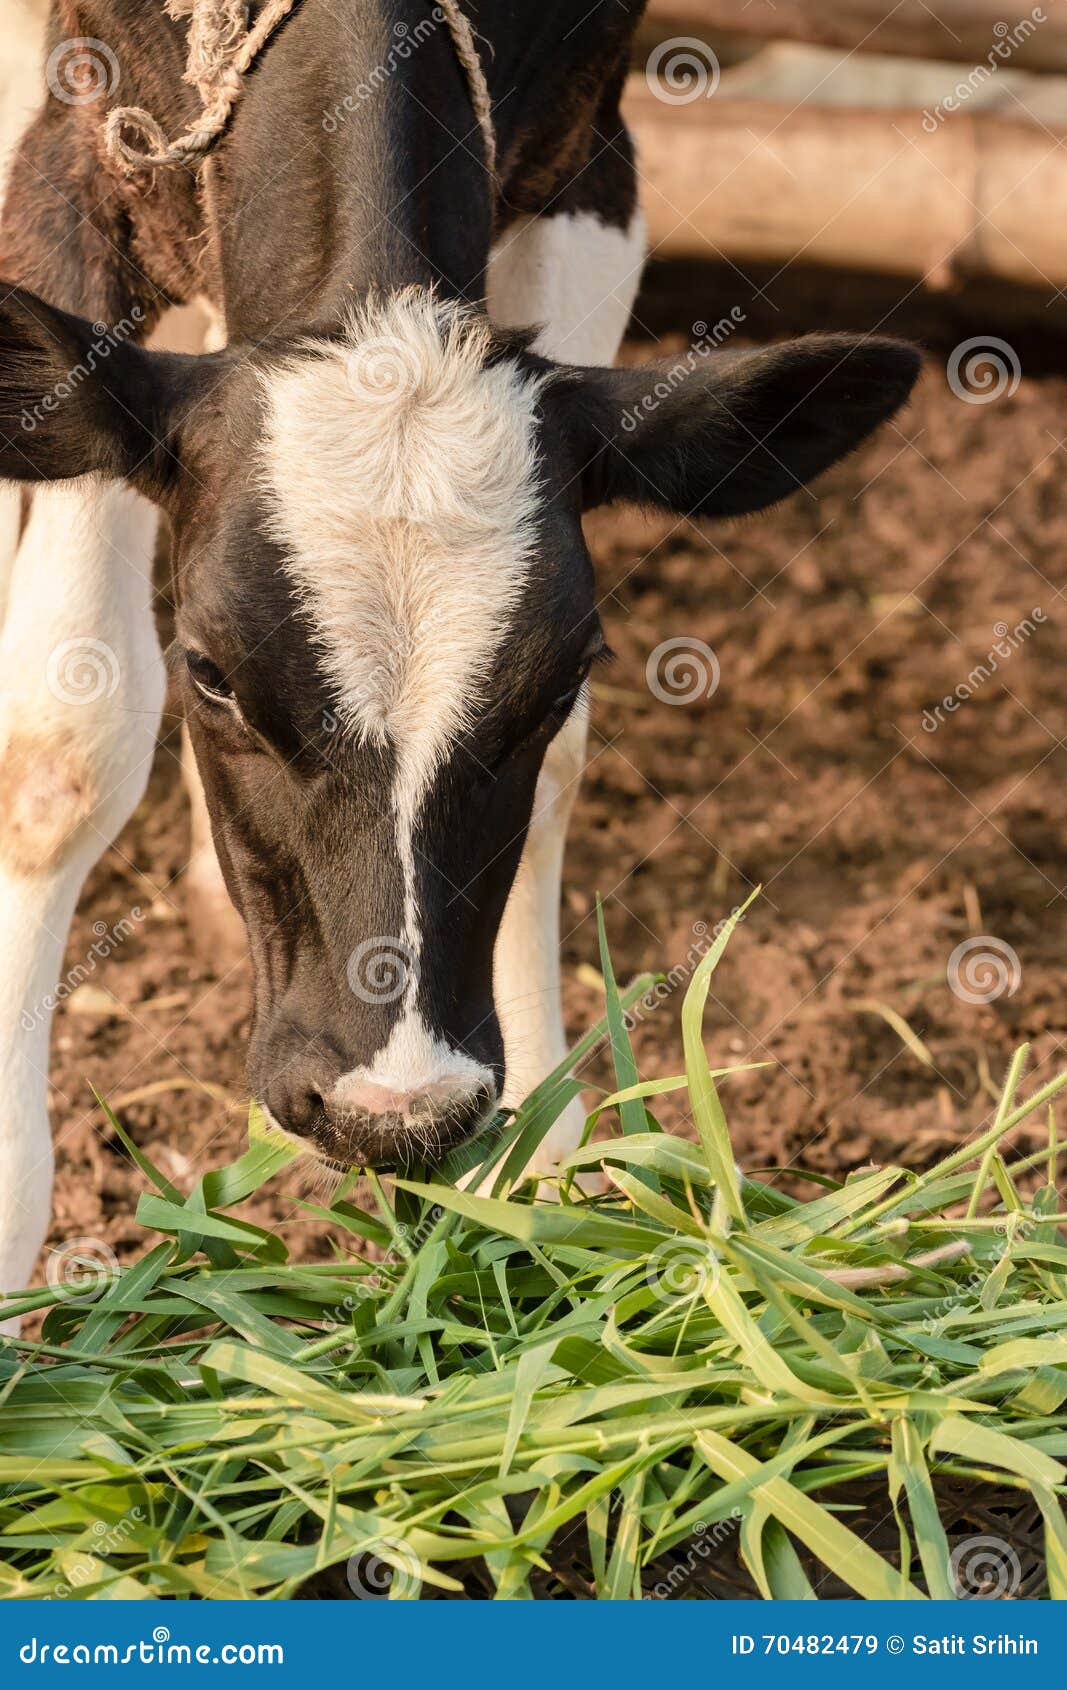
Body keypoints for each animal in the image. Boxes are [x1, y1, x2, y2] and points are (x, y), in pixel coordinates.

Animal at [0, 0, 919, 1312]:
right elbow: (61, 746)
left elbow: (561, 775)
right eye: (213, 674)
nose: (393, 1112)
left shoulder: (587, 160)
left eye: (565, 672)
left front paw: (536, 1162)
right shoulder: (72, 165)